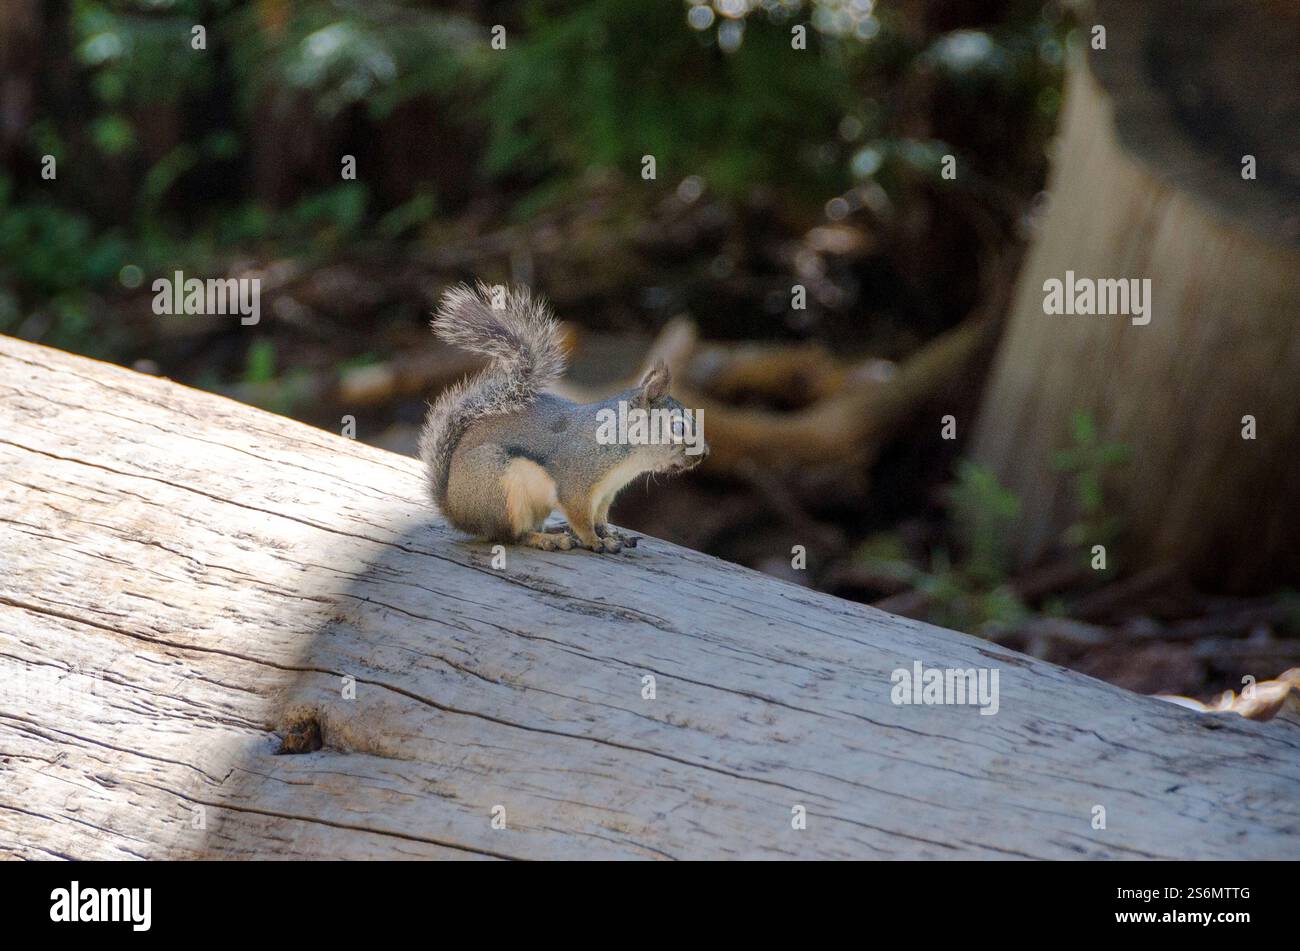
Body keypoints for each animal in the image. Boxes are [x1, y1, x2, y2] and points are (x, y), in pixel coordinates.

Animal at [419, 283, 708, 553]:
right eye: (679, 426)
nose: (704, 453)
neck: (629, 457)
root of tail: (456, 511)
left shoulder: (606, 494)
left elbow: (600, 519)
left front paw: (612, 535)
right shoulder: (576, 482)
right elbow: (581, 518)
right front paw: (595, 541)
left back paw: (554, 529)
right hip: (498, 488)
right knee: (511, 535)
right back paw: (549, 539)